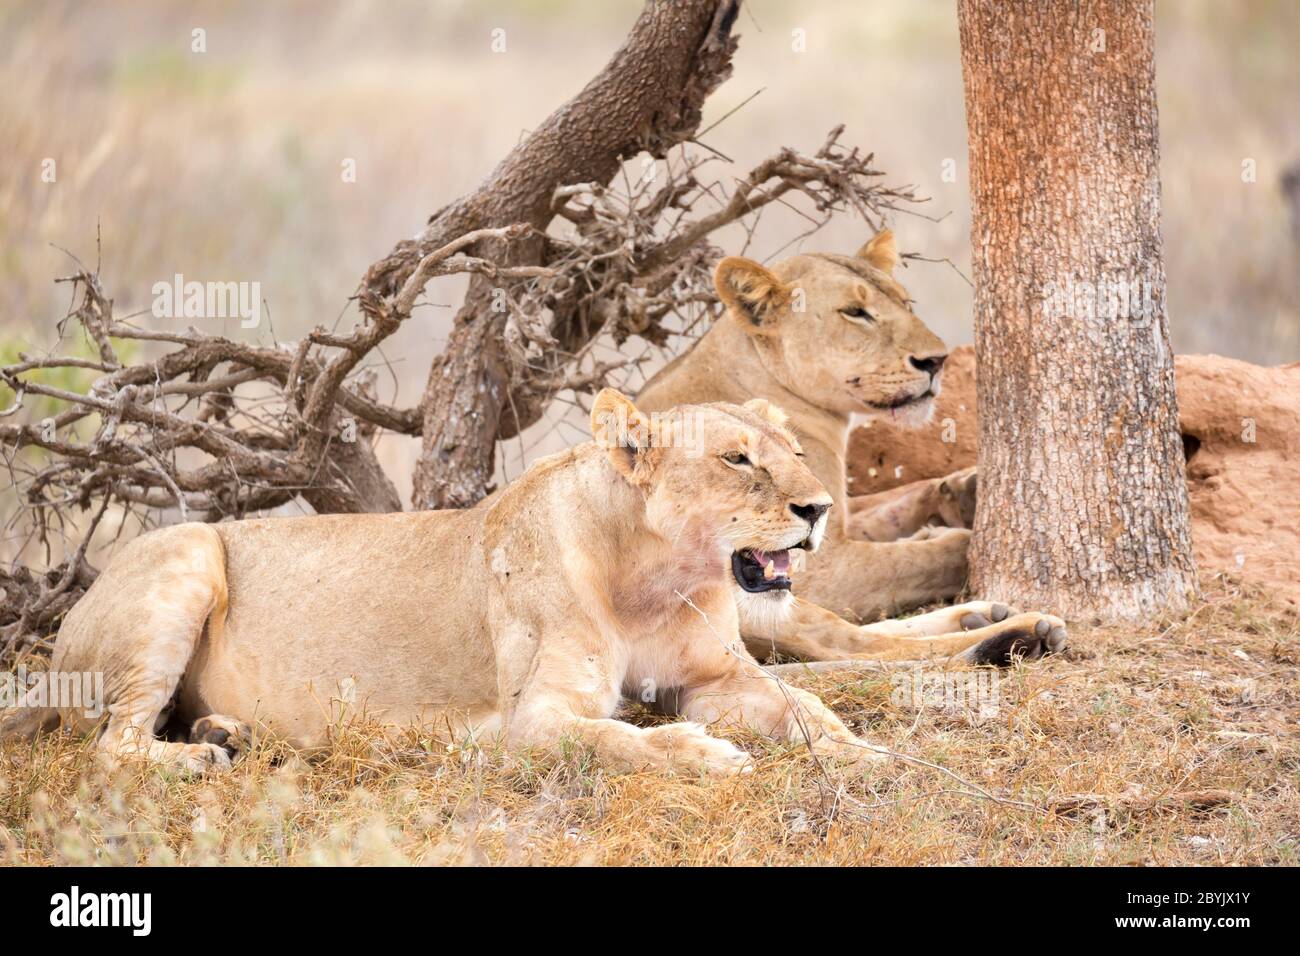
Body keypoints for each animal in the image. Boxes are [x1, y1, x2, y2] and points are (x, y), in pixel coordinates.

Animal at [4, 392, 1062, 775]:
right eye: (737, 461)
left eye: (794, 450)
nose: (817, 510)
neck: (652, 577)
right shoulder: (532, 721)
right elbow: (623, 740)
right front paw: (702, 754)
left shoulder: (723, 676)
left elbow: (812, 709)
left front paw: (868, 757)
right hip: (186, 556)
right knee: (109, 745)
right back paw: (198, 757)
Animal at [636, 231, 1067, 664]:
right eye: (856, 312)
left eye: (906, 303)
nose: (937, 361)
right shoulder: (819, 565)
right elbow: (916, 561)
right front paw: (951, 534)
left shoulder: (833, 510)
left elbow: (883, 506)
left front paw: (962, 492)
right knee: (861, 645)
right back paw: (1020, 632)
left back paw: (981, 614)